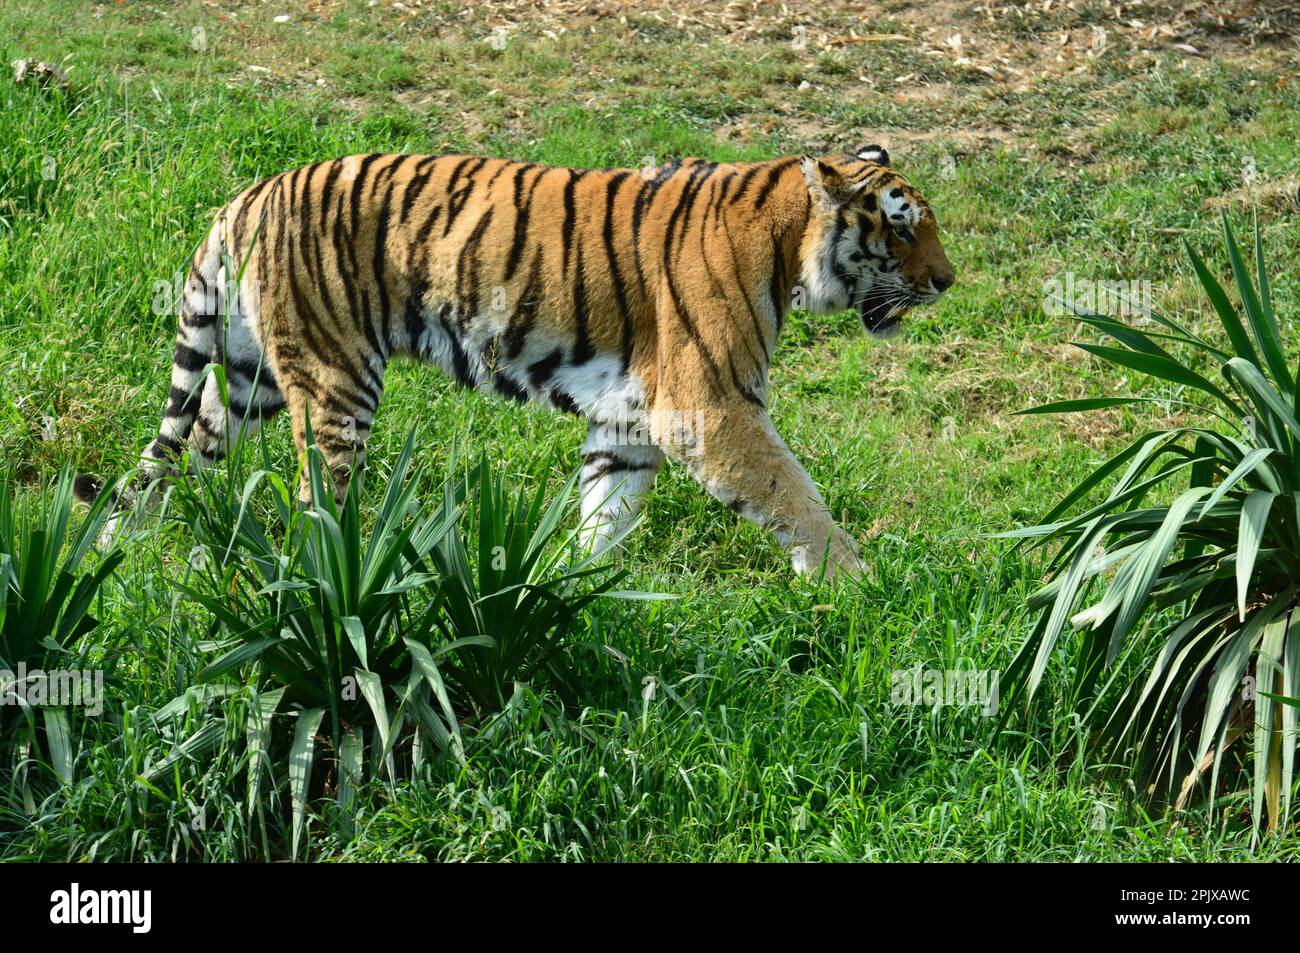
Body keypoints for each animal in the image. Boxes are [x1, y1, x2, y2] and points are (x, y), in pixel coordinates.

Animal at [76, 144, 953, 578]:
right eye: (903, 227)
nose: (948, 281)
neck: (785, 247)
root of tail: (245, 197)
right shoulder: (710, 408)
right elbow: (796, 496)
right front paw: (855, 584)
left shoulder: (630, 419)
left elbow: (606, 511)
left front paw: (572, 586)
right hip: (336, 381)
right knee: (314, 496)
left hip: (247, 381)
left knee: (169, 461)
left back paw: (126, 552)